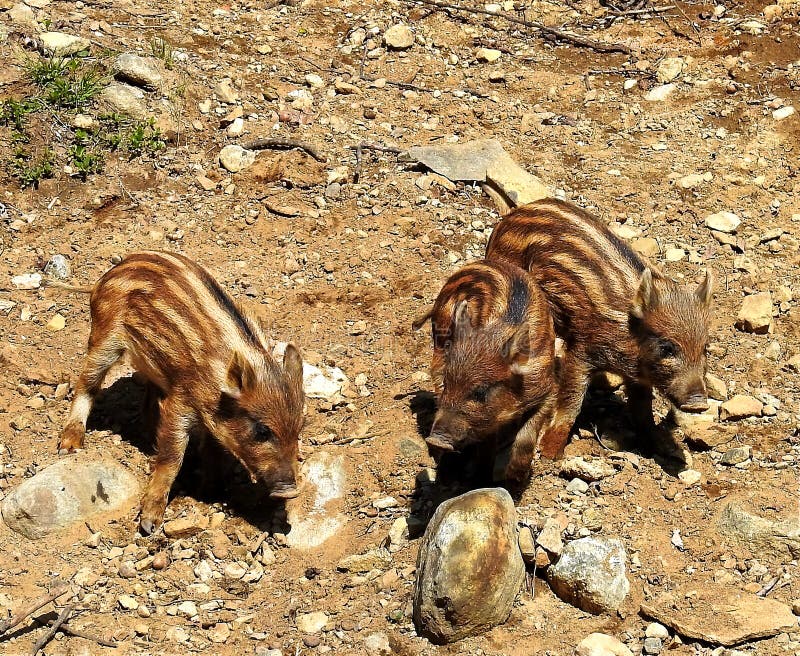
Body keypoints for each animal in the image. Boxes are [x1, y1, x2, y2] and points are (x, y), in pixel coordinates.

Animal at [55, 251, 305, 534]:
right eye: (263, 430)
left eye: (299, 429)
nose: (291, 492)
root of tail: (104, 278)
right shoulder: (180, 402)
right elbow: (172, 458)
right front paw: (149, 524)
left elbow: (213, 449)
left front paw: (211, 492)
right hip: (104, 339)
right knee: (86, 384)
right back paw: (70, 446)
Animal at [413, 259, 558, 484]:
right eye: (448, 384)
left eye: (480, 391)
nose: (436, 440)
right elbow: (486, 445)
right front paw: (481, 480)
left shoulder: (548, 390)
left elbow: (527, 435)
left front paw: (515, 478)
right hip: (440, 343)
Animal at [485, 198, 714, 458]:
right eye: (667, 347)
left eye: (705, 348)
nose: (699, 403)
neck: (628, 335)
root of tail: (509, 218)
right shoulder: (581, 350)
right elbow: (571, 403)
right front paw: (550, 454)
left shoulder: (638, 378)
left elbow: (643, 411)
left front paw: (663, 447)